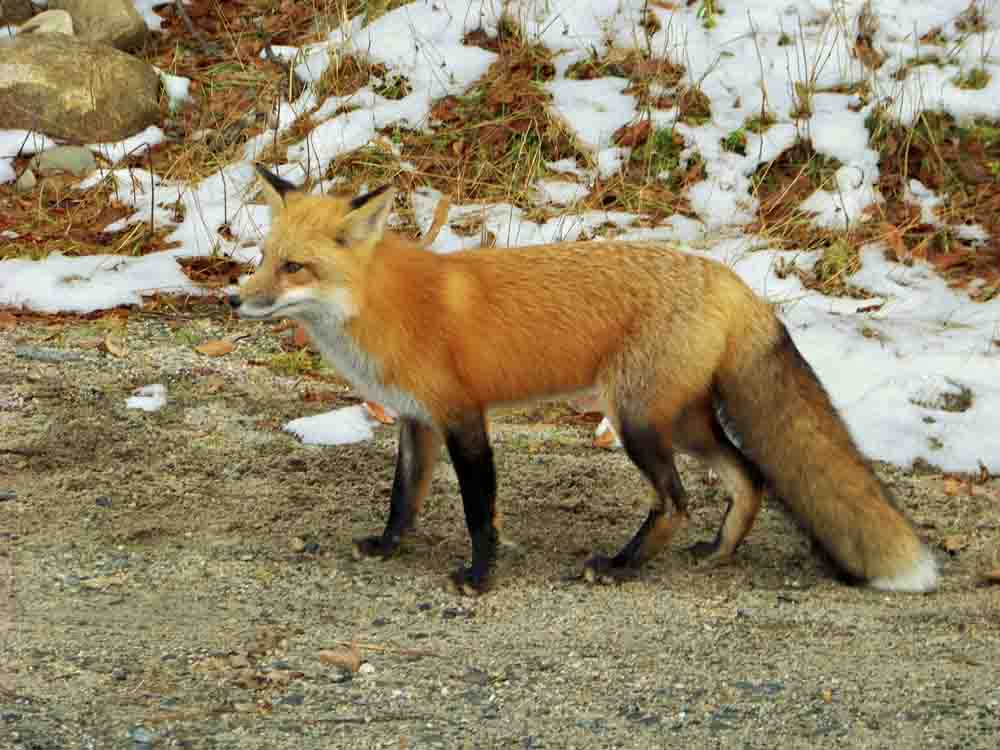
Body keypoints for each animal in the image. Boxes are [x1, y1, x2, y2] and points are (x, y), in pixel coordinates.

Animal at [230, 164, 939, 596]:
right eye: (261, 259)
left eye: (294, 268)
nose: (234, 300)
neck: (387, 305)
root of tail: (733, 282)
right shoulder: (416, 419)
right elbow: (403, 498)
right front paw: (385, 546)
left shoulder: (463, 416)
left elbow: (478, 511)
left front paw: (479, 578)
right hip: (682, 421)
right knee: (750, 477)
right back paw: (718, 553)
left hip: (635, 421)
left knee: (677, 500)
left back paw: (622, 566)